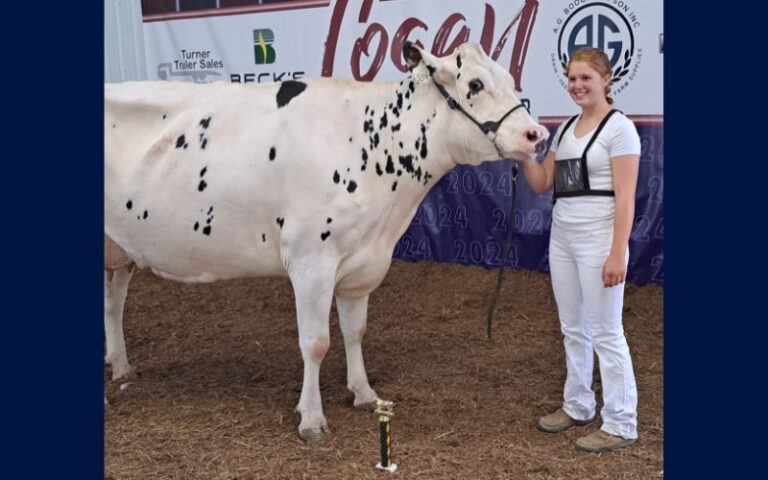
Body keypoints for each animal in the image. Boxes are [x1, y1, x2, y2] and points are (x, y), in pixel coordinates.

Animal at [104, 41, 549, 443]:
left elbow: (355, 331)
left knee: (114, 302)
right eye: (475, 84)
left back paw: (121, 367)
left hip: (118, 250)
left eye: (510, 80)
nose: (537, 134)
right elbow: (316, 343)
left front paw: (364, 393)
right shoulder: (310, 262)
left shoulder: (363, 261)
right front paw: (312, 419)